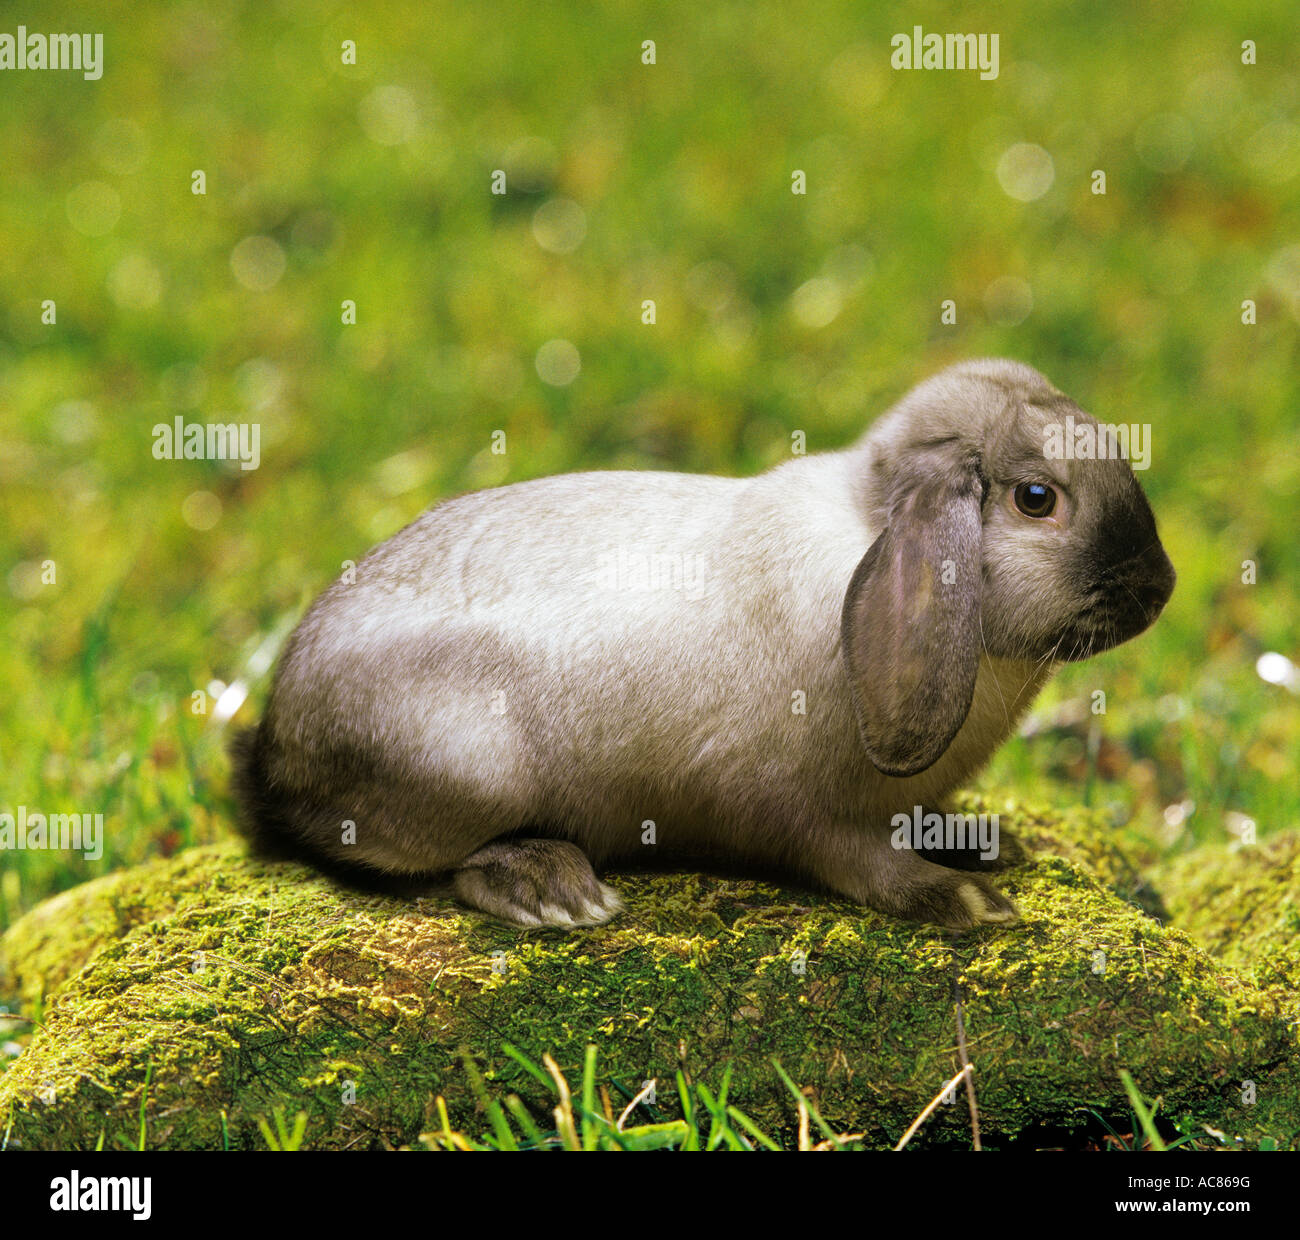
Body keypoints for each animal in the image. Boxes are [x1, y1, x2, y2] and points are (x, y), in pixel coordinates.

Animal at [231, 358, 1175, 931]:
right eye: (1036, 498)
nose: (1158, 588)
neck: (866, 525)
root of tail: (277, 749)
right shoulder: (794, 808)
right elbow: (856, 861)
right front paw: (965, 898)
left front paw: (981, 841)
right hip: (468, 765)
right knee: (398, 865)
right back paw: (550, 888)